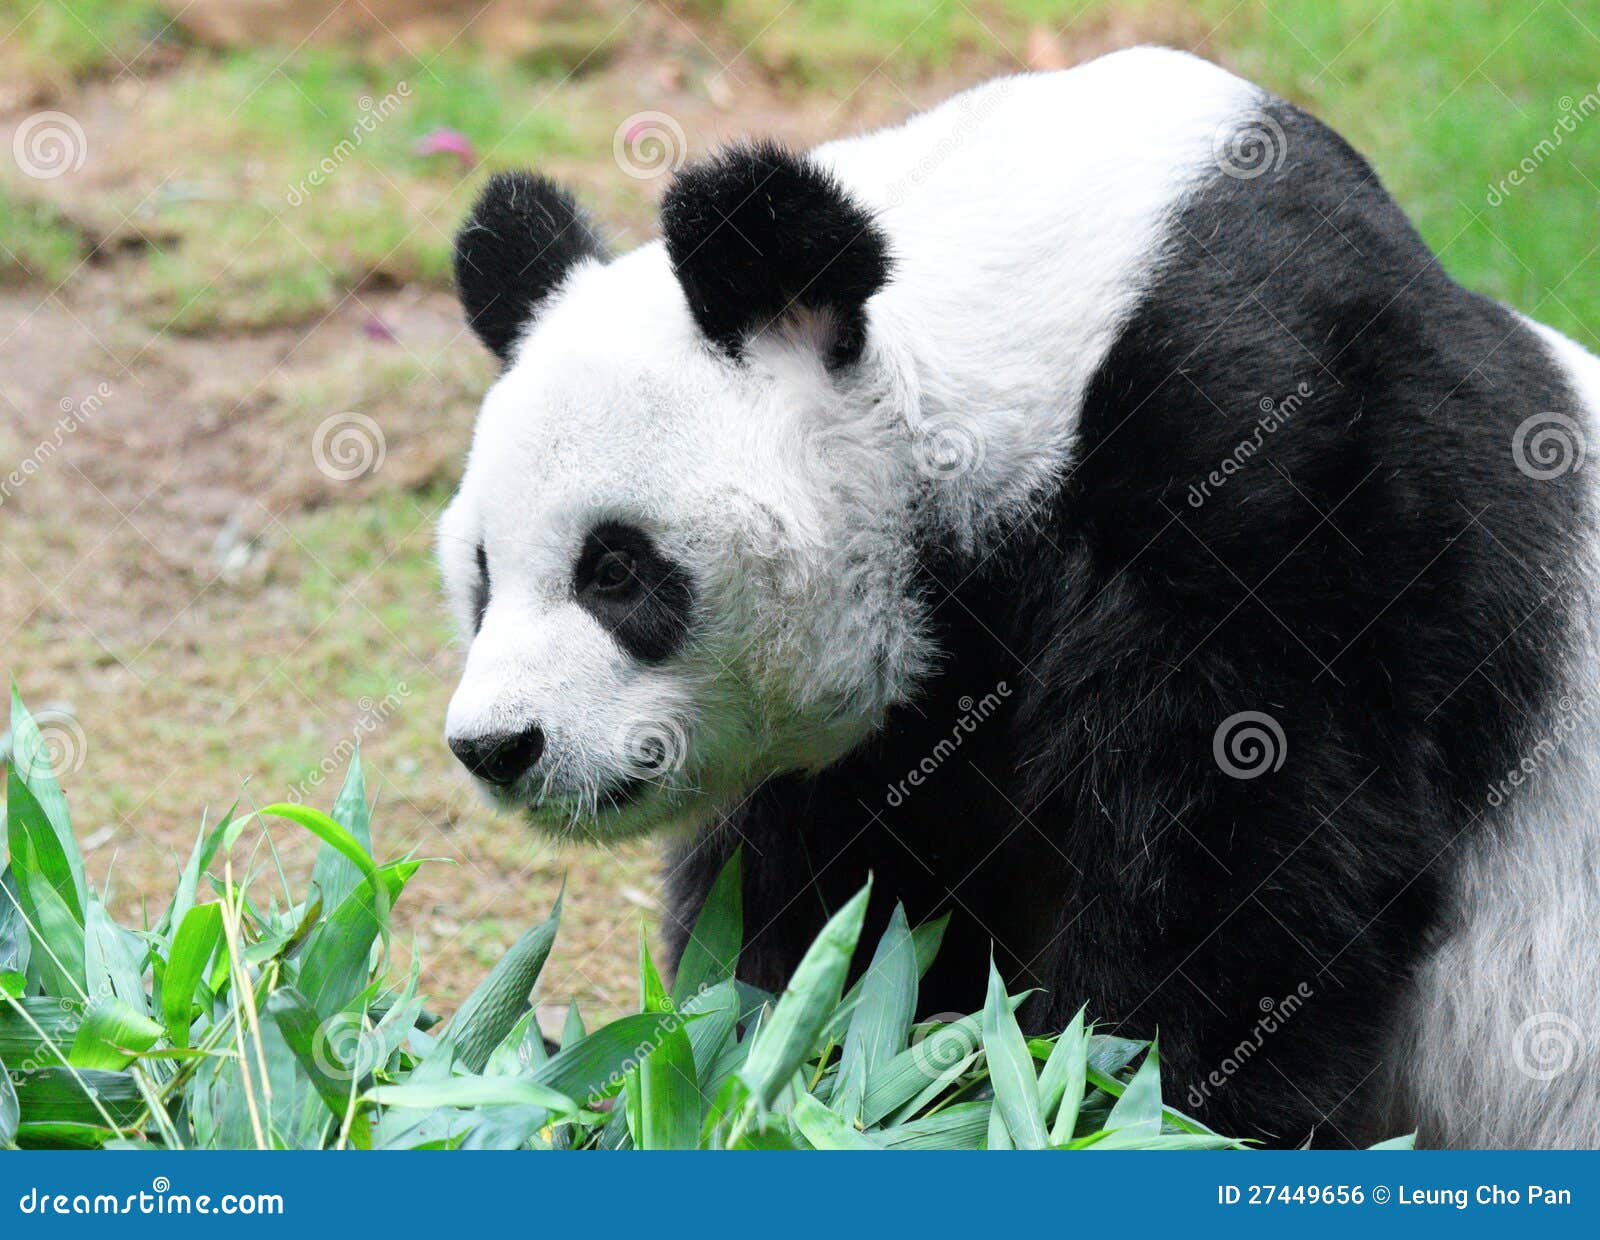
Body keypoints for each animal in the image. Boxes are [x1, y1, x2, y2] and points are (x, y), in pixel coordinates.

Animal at [437, 47, 1600, 1148]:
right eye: (485, 572)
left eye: (616, 570)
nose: (497, 745)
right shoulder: (900, 732)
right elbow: (832, 913)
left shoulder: (1287, 481)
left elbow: (1247, 870)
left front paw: (1108, 1096)